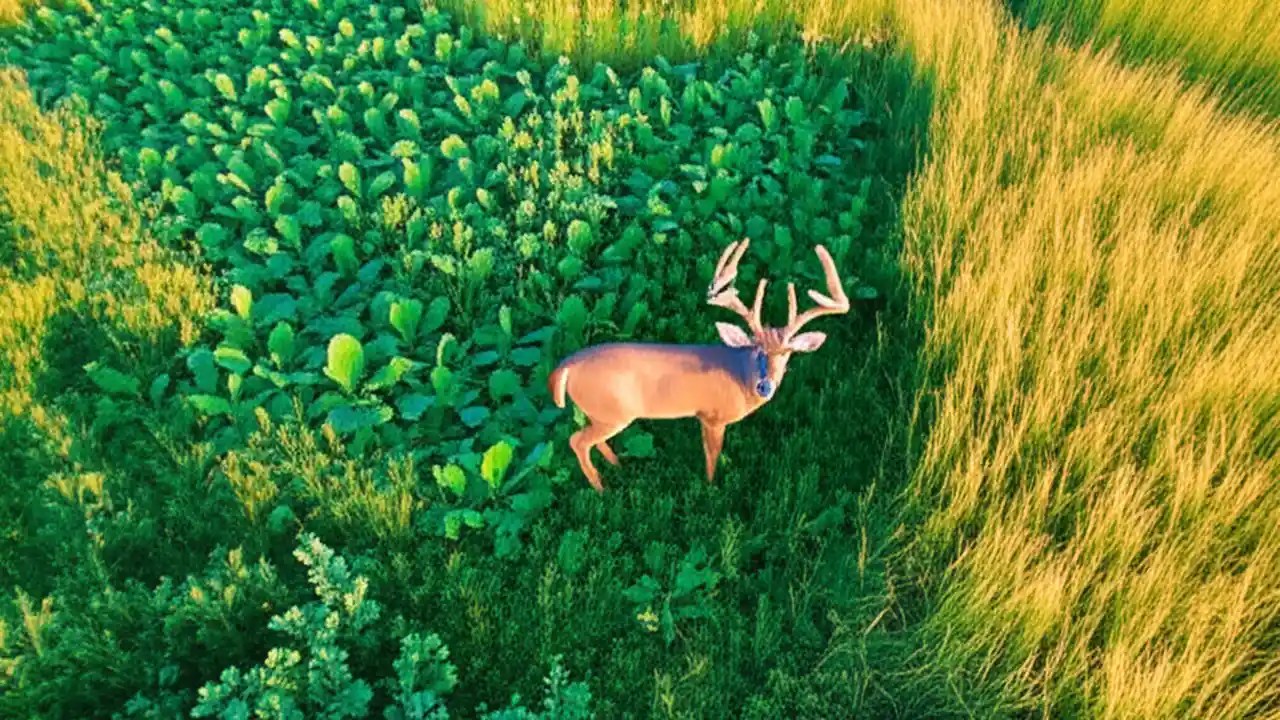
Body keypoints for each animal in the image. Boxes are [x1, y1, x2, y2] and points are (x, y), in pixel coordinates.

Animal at [546, 238, 850, 492]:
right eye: (758, 349)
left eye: (787, 353)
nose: (766, 387)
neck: (741, 376)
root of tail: (565, 367)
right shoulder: (712, 416)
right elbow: (712, 454)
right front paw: (711, 486)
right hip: (612, 412)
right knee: (577, 441)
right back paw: (601, 488)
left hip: (600, 412)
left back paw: (617, 465)